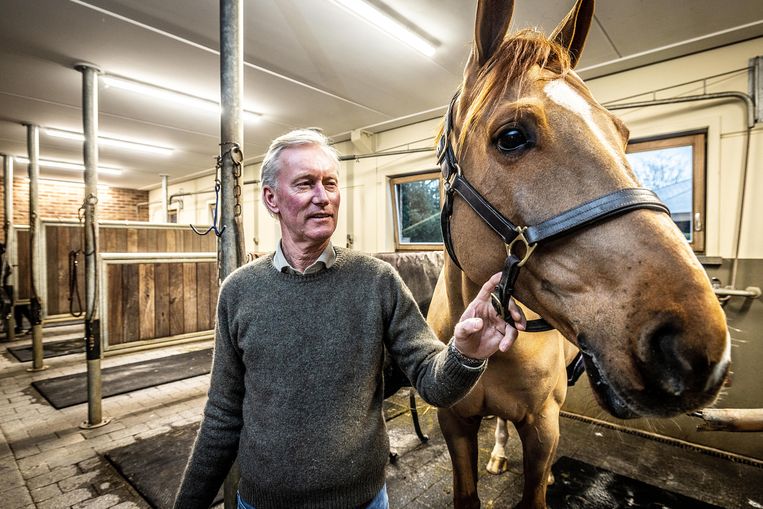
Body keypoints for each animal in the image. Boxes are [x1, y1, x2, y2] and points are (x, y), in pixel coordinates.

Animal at [425, 1, 731, 507]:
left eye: (622, 134)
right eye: (511, 136)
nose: (696, 349)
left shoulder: (543, 425)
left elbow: (535, 488)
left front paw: (546, 477)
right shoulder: (454, 422)